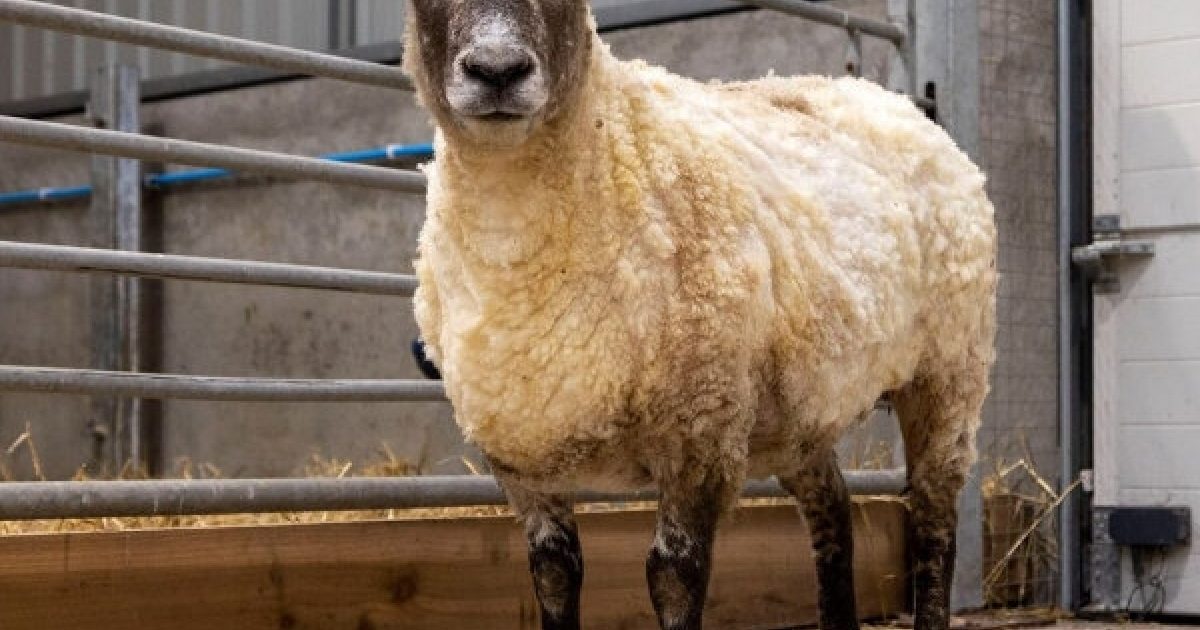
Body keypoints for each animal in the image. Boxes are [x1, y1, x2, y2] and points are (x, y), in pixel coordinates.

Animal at [403, 2, 996, 629]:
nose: (497, 71)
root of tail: (891, 101)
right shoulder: (522, 460)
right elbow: (554, 575)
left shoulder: (699, 426)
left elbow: (673, 576)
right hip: (798, 411)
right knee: (833, 508)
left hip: (950, 369)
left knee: (934, 520)